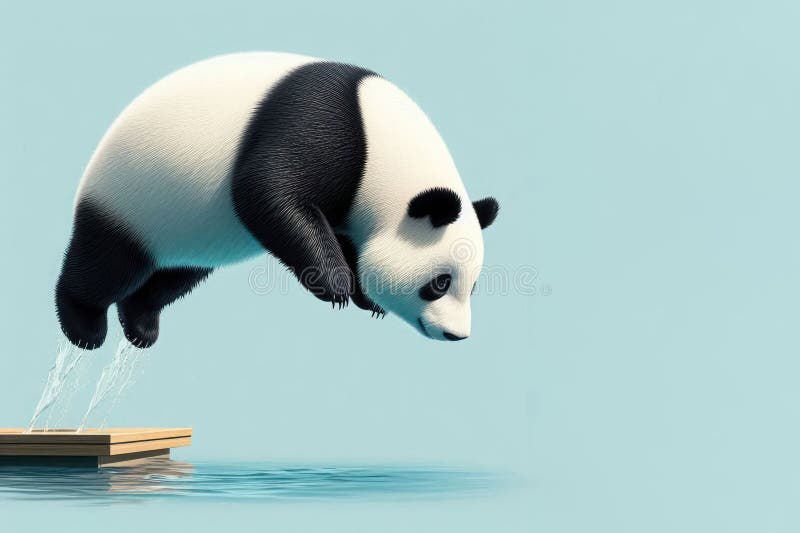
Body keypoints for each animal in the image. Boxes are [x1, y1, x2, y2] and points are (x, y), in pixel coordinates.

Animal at [56, 52, 499, 349]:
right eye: (440, 283)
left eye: (474, 285)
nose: (457, 335)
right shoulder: (324, 125)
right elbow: (264, 188)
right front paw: (336, 283)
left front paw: (365, 294)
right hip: (132, 199)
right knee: (108, 264)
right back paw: (84, 326)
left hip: (187, 234)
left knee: (173, 276)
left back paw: (141, 322)